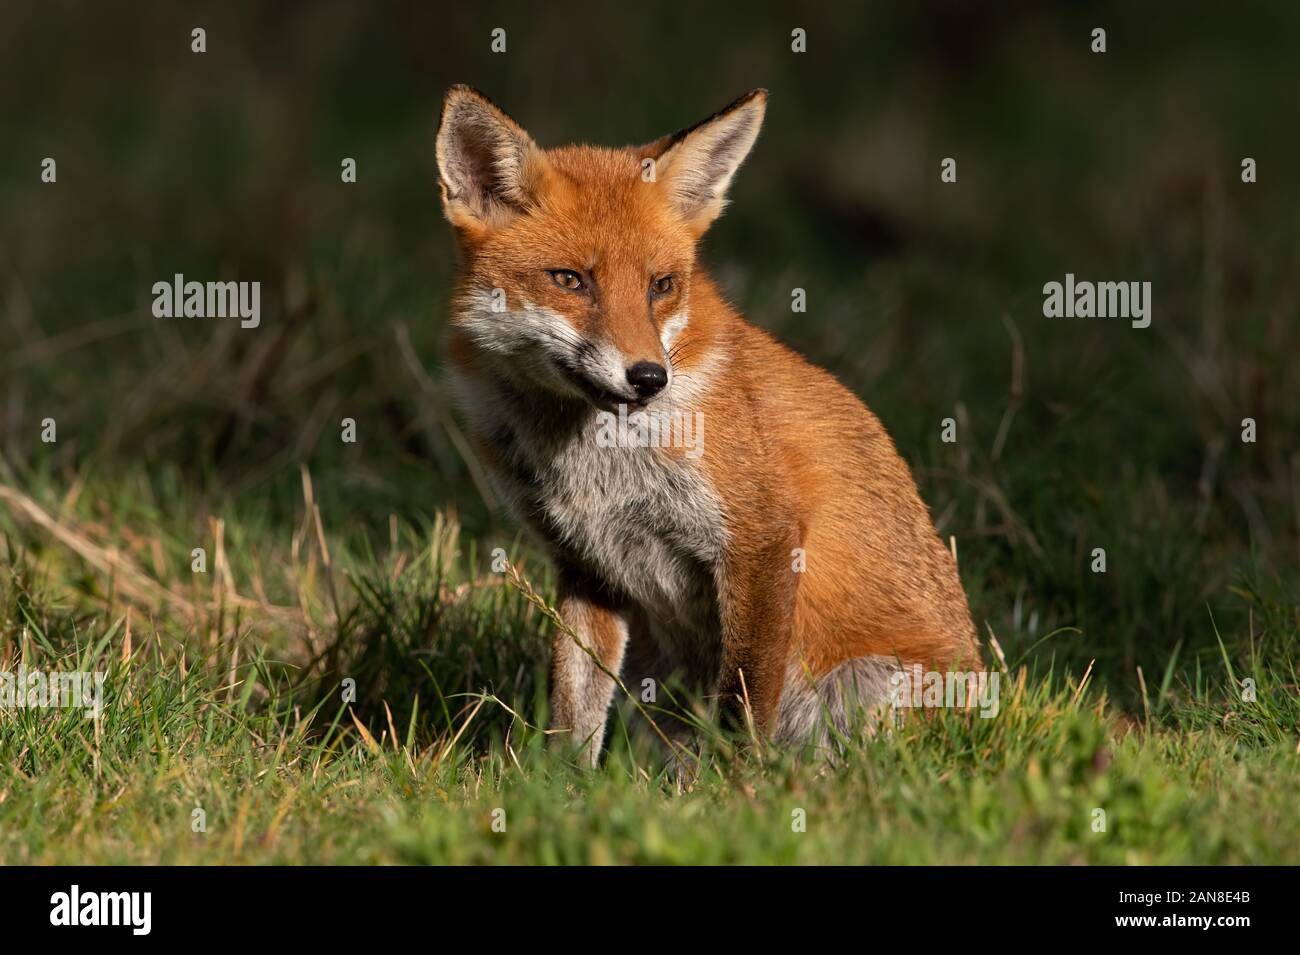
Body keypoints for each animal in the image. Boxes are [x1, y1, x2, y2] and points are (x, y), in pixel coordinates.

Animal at [435, 85, 979, 766]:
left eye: (661, 285)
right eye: (570, 280)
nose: (648, 377)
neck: (592, 455)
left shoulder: (763, 538)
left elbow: (744, 699)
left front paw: (737, 785)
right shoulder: (587, 563)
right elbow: (574, 704)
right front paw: (560, 784)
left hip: (864, 686)